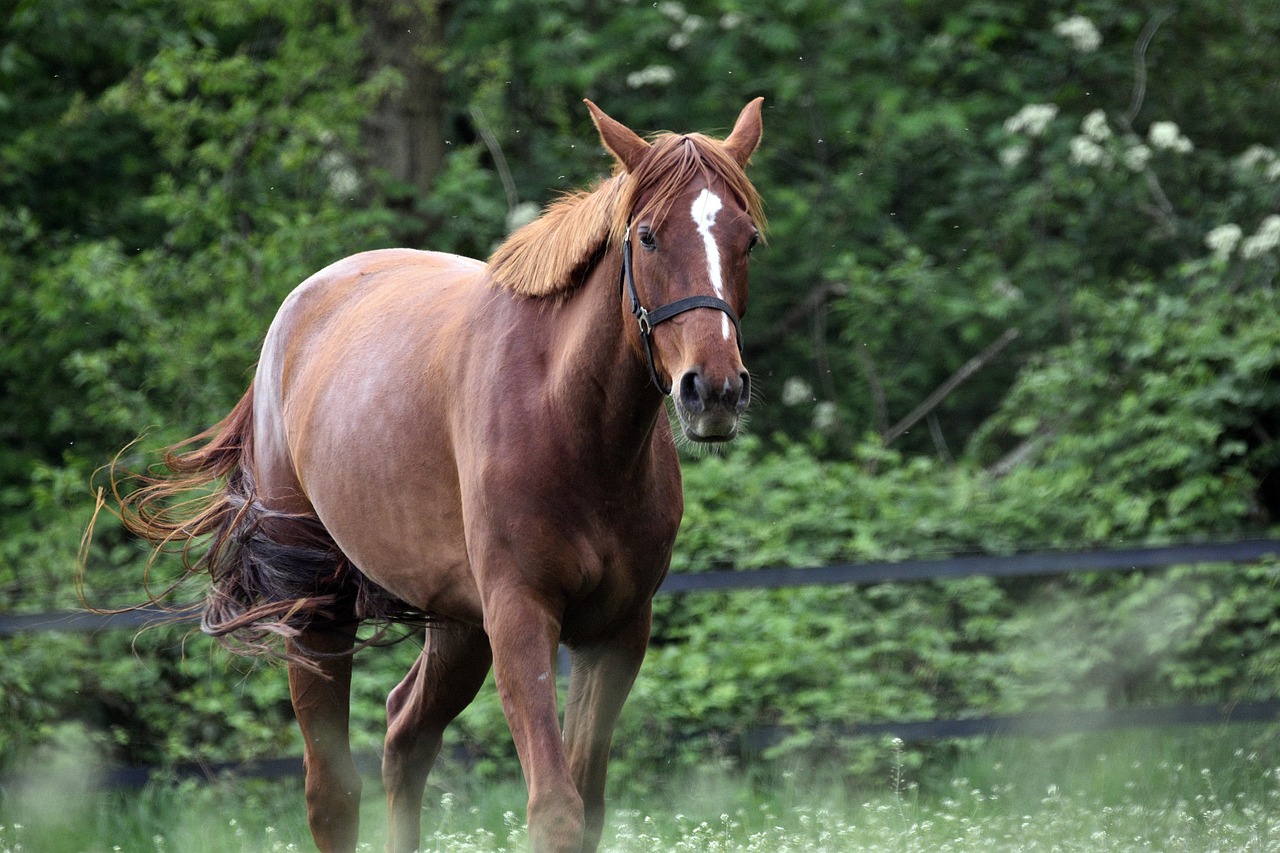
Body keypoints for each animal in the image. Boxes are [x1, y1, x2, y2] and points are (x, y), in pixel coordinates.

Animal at [107, 98, 765, 853]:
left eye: (747, 239)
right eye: (650, 236)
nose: (714, 390)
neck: (569, 419)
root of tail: (292, 318)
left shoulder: (616, 635)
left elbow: (587, 804)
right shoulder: (520, 620)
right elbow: (556, 807)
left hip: (457, 625)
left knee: (405, 735)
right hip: (319, 614)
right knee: (333, 791)